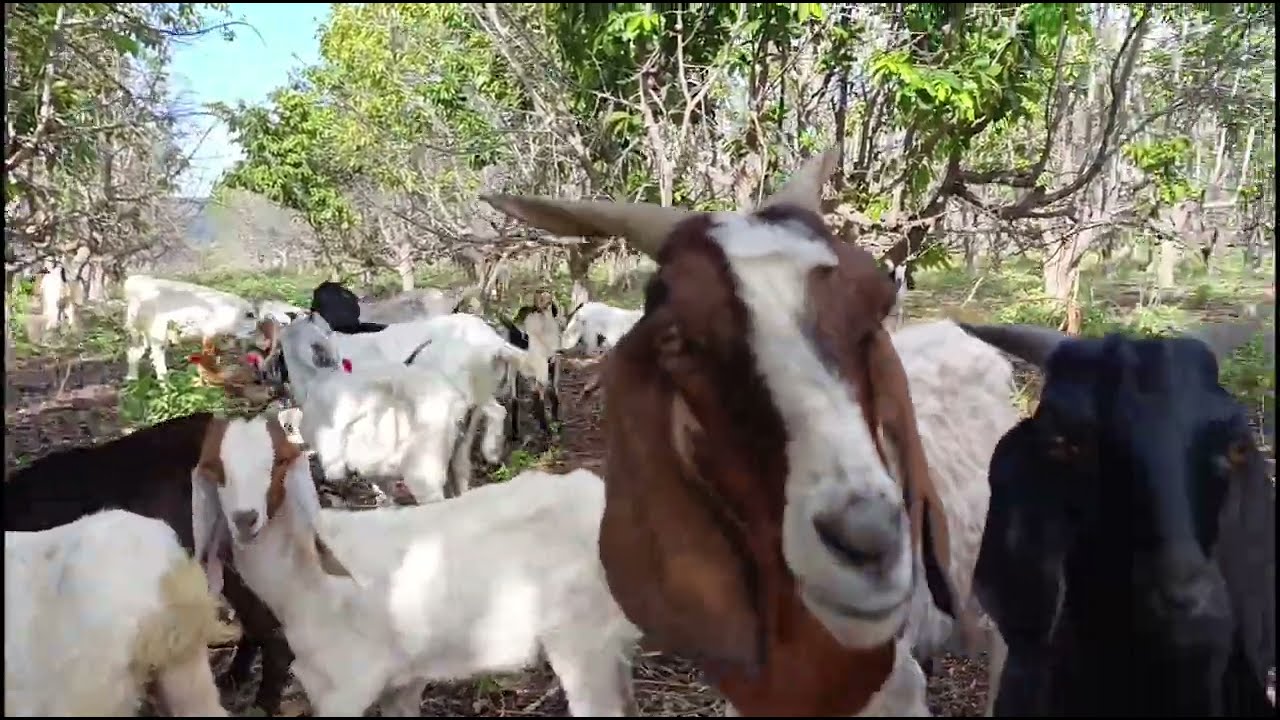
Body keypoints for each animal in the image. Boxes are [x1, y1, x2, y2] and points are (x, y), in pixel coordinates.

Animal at [123, 275, 259, 381]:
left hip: (141, 331)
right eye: (252, 319)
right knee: (149, 354)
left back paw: (132, 378)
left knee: (136, 352)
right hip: (156, 331)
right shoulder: (210, 333)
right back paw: (163, 381)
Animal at [192, 416, 642, 716]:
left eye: (279, 464)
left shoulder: (349, 685)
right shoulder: (401, 682)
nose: (245, 519)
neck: (303, 579)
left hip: (580, 642)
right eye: (216, 469)